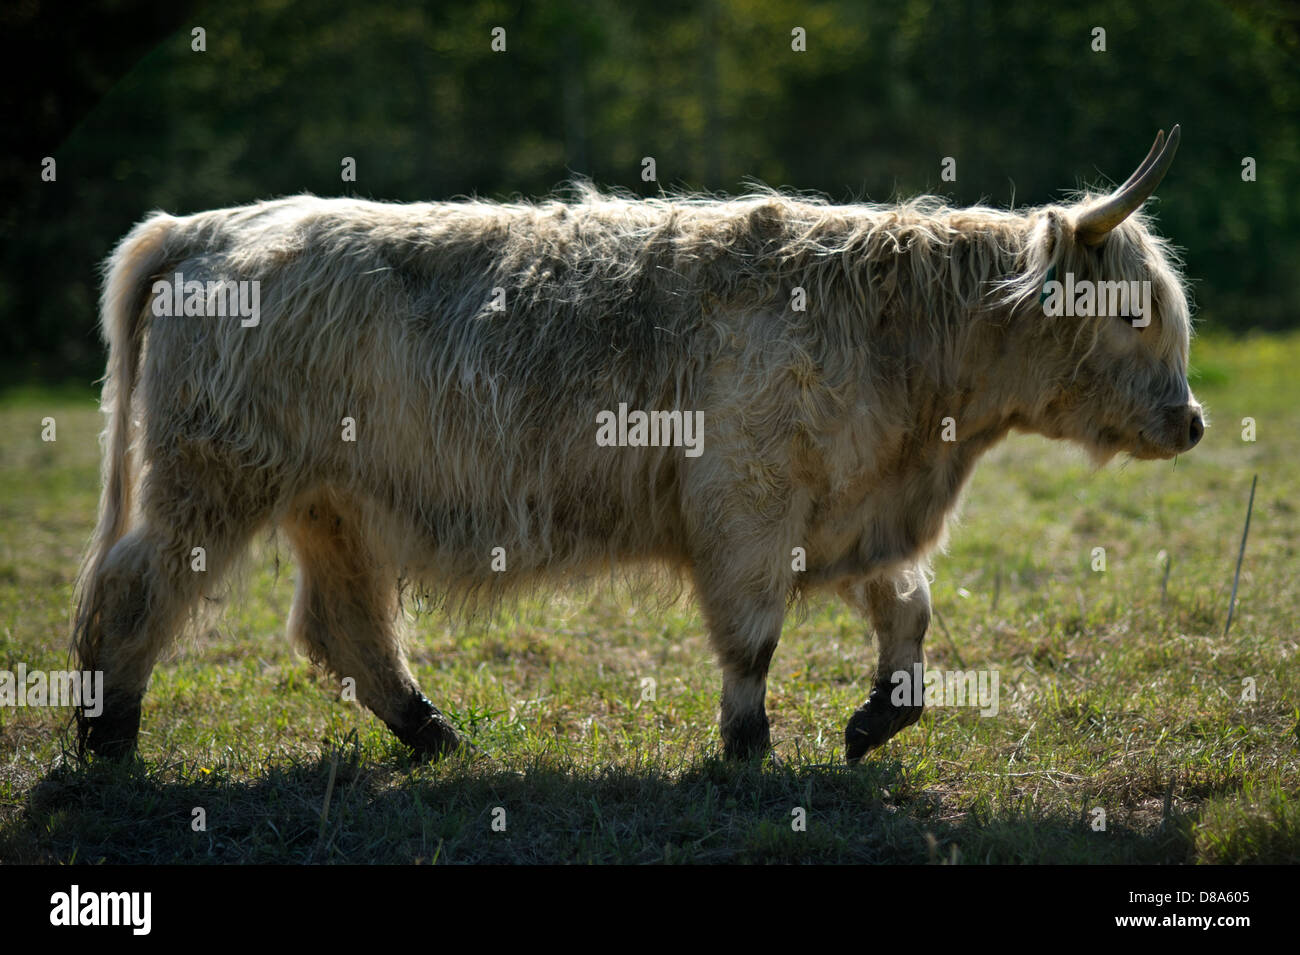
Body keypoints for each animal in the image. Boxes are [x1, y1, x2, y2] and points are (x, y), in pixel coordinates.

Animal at [72, 127, 1199, 764]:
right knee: (133, 587)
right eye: (1134, 311)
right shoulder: (747, 504)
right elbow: (753, 638)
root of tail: (204, 224)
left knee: (343, 627)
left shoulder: (851, 508)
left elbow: (909, 613)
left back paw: (435, 736)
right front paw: (747, 751)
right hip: (210, 481)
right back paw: (105, 737)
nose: (1190, 420)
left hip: (332, 501)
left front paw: (875, 720)